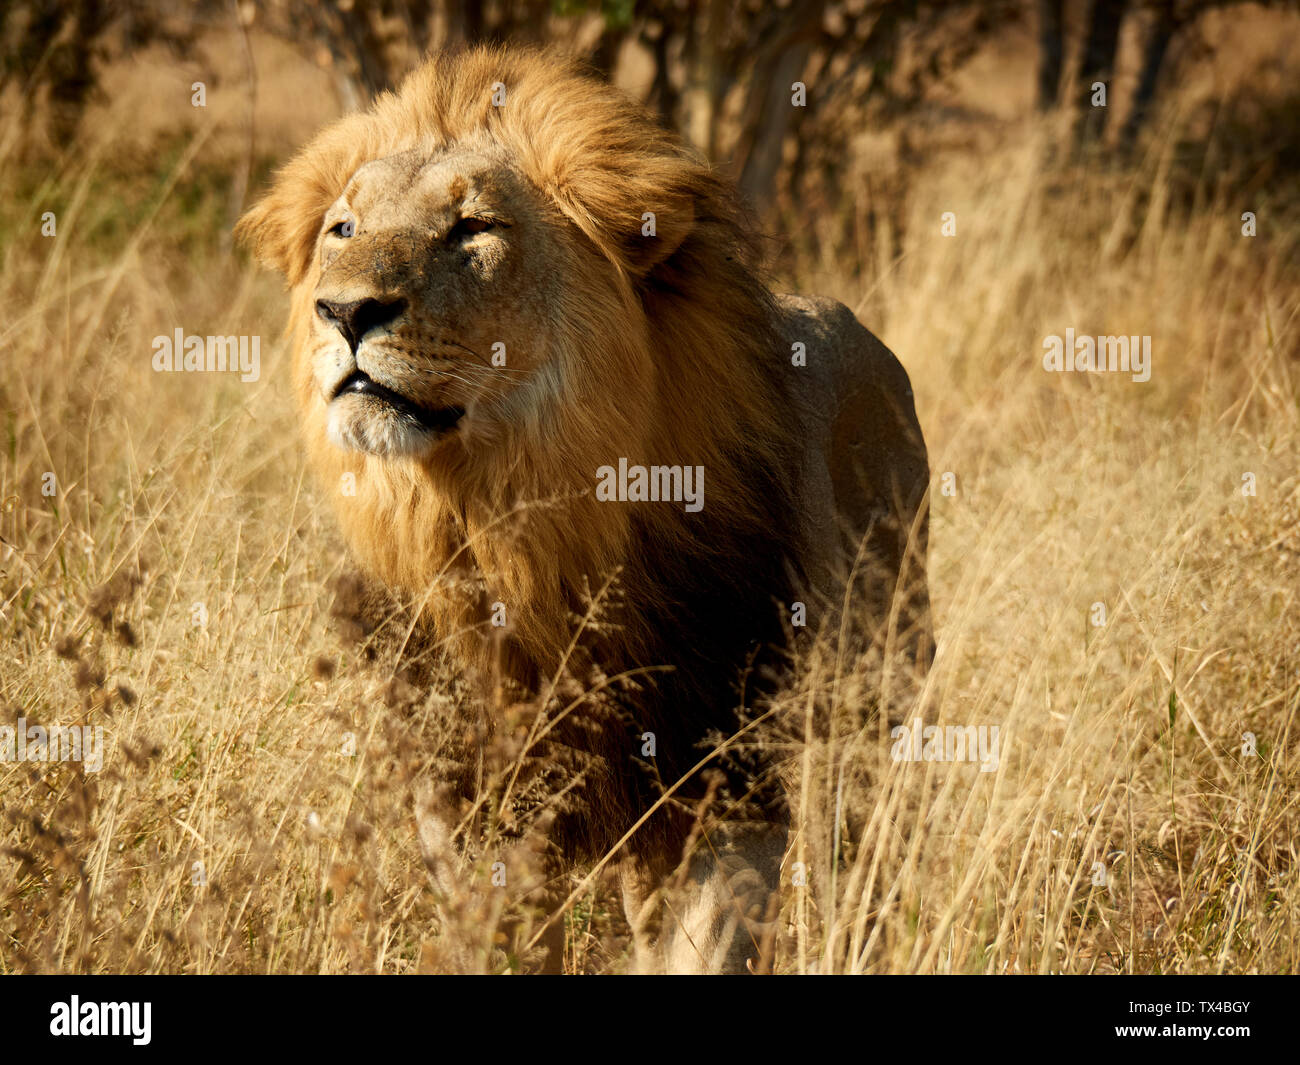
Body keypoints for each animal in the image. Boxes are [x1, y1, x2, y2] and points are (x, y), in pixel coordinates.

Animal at [238, 45, 932, 974]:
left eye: (474, 229)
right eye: (341, 231)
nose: (344, 310)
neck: (514, 533)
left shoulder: (723, 780)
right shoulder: (469, 796)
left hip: (875, 712)